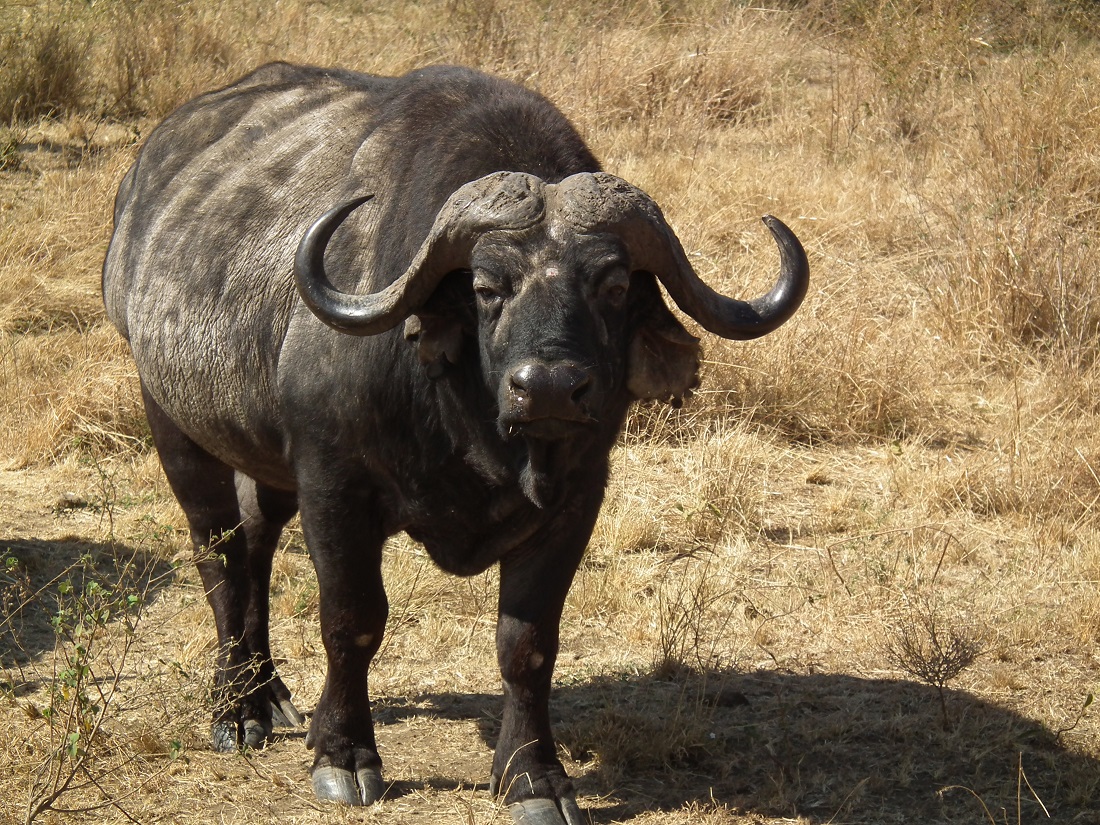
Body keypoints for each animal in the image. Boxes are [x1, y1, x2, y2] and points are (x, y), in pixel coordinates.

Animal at [102, 62, 808, 824]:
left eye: (615, 284)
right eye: (487, 285)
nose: (549, 388)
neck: (470, 426)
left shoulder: (576, 500)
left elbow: (528, 644)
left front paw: (534, 776)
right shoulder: (334, 486)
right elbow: (352, 619)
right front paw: (344, 754)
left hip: (262, 457)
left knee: (257, 542)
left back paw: (271, 695)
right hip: (172, 421)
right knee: (221, 554)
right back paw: (236, 709)